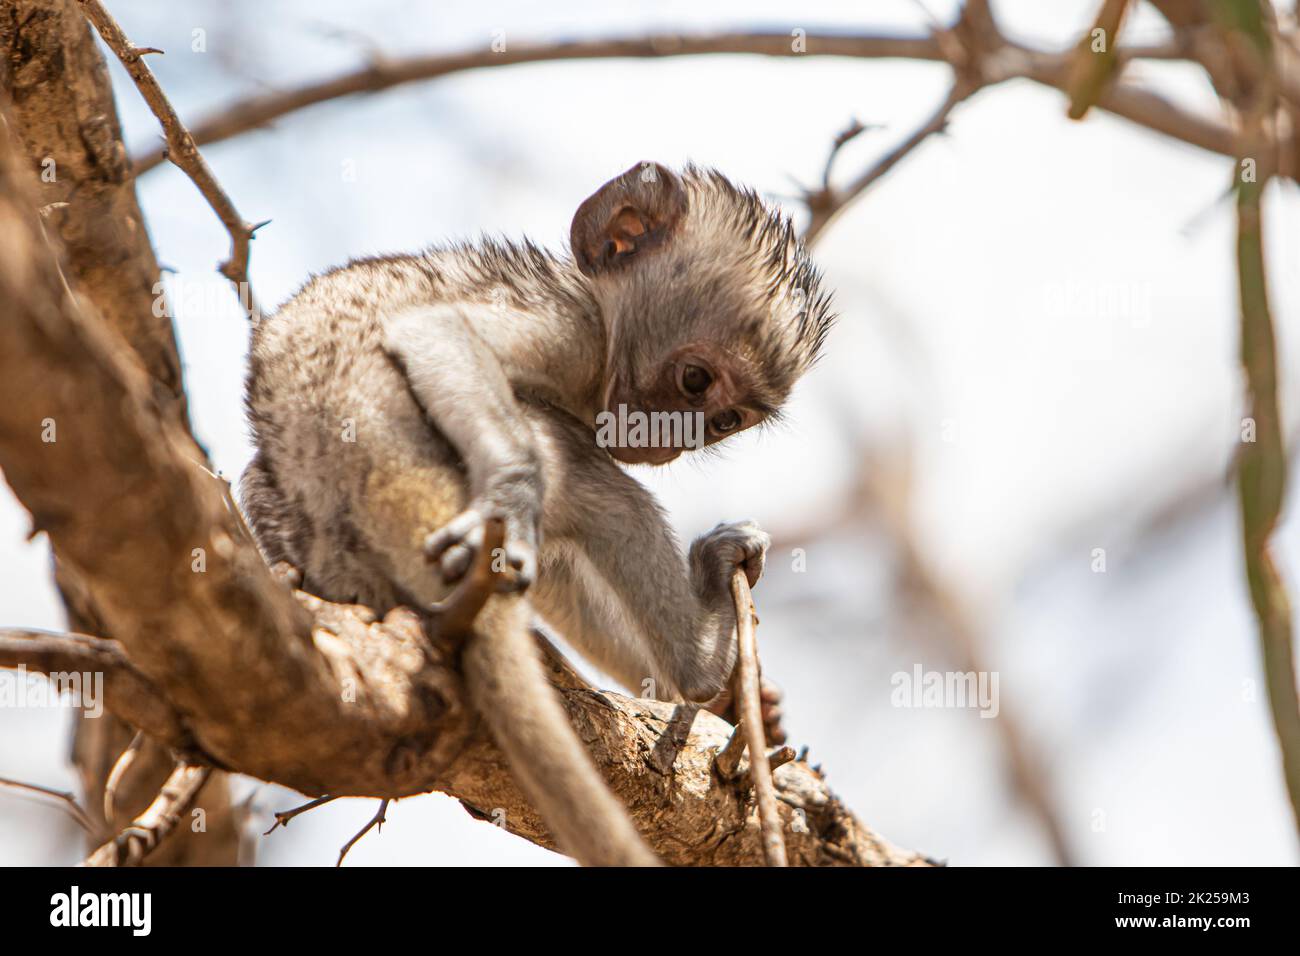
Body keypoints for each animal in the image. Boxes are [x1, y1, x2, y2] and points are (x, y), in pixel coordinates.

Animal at [241, 161, 835, 865]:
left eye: (724, 422)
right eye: (694, 381)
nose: (675, 438)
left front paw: (747, 710)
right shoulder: (570, 332)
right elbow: (440, 336)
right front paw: (509, 492)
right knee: (595, 479)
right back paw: (702, 663)